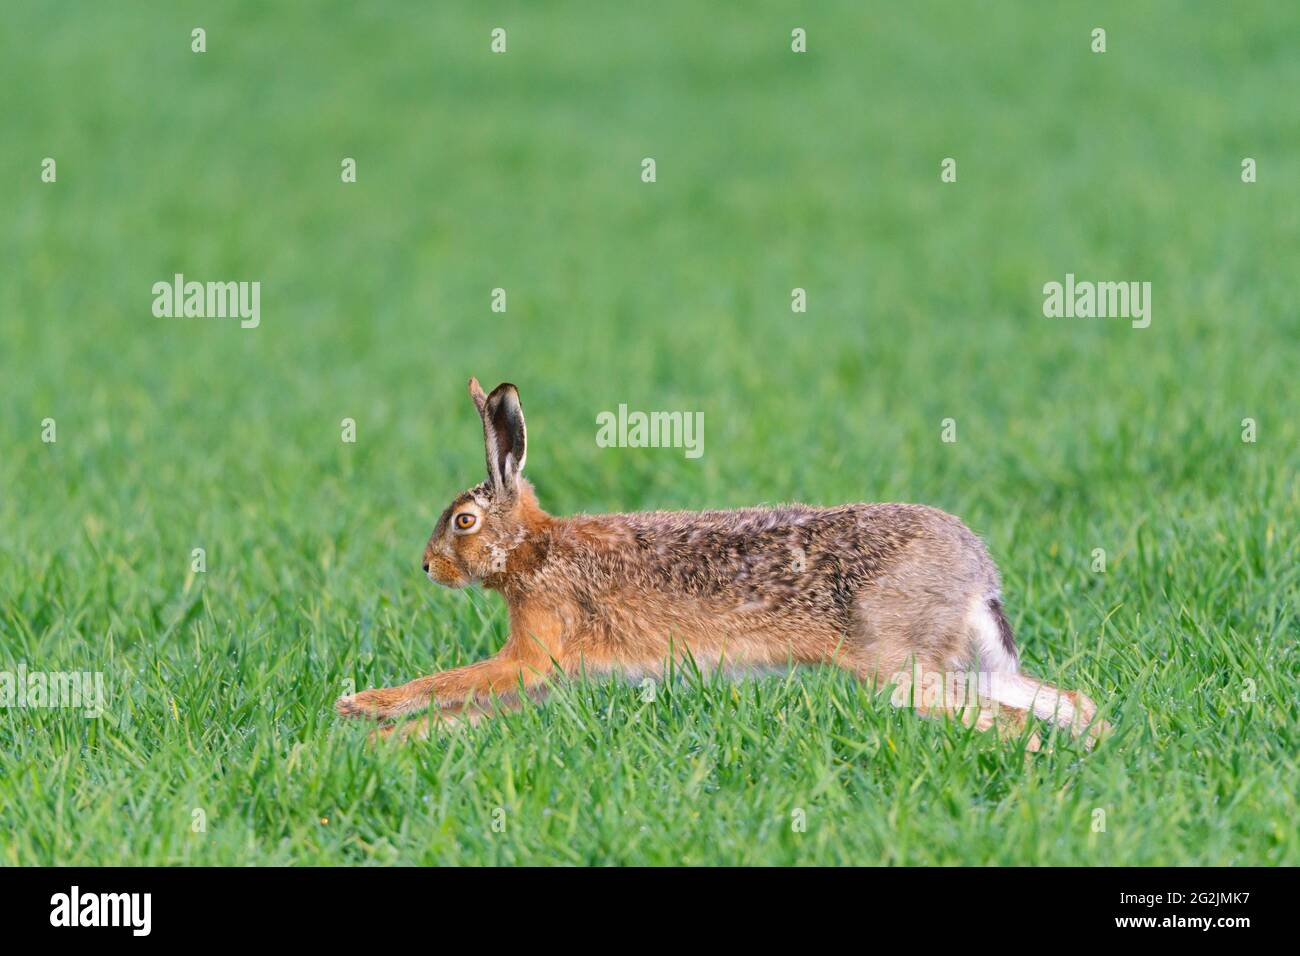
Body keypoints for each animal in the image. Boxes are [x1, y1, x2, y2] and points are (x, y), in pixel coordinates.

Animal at [336, 378, 1110, 748]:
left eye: (463, 522)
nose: (428, 568)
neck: (534, 551)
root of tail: (977, 572)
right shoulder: (548, 675)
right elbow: (470, 705)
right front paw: (383, 743)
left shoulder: (536, 652)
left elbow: (453, 683)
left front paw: (363, 710)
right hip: (963, 661)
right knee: (1068, 703)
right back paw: (1093, 747)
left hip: (901, 669)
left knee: (1003, 722)